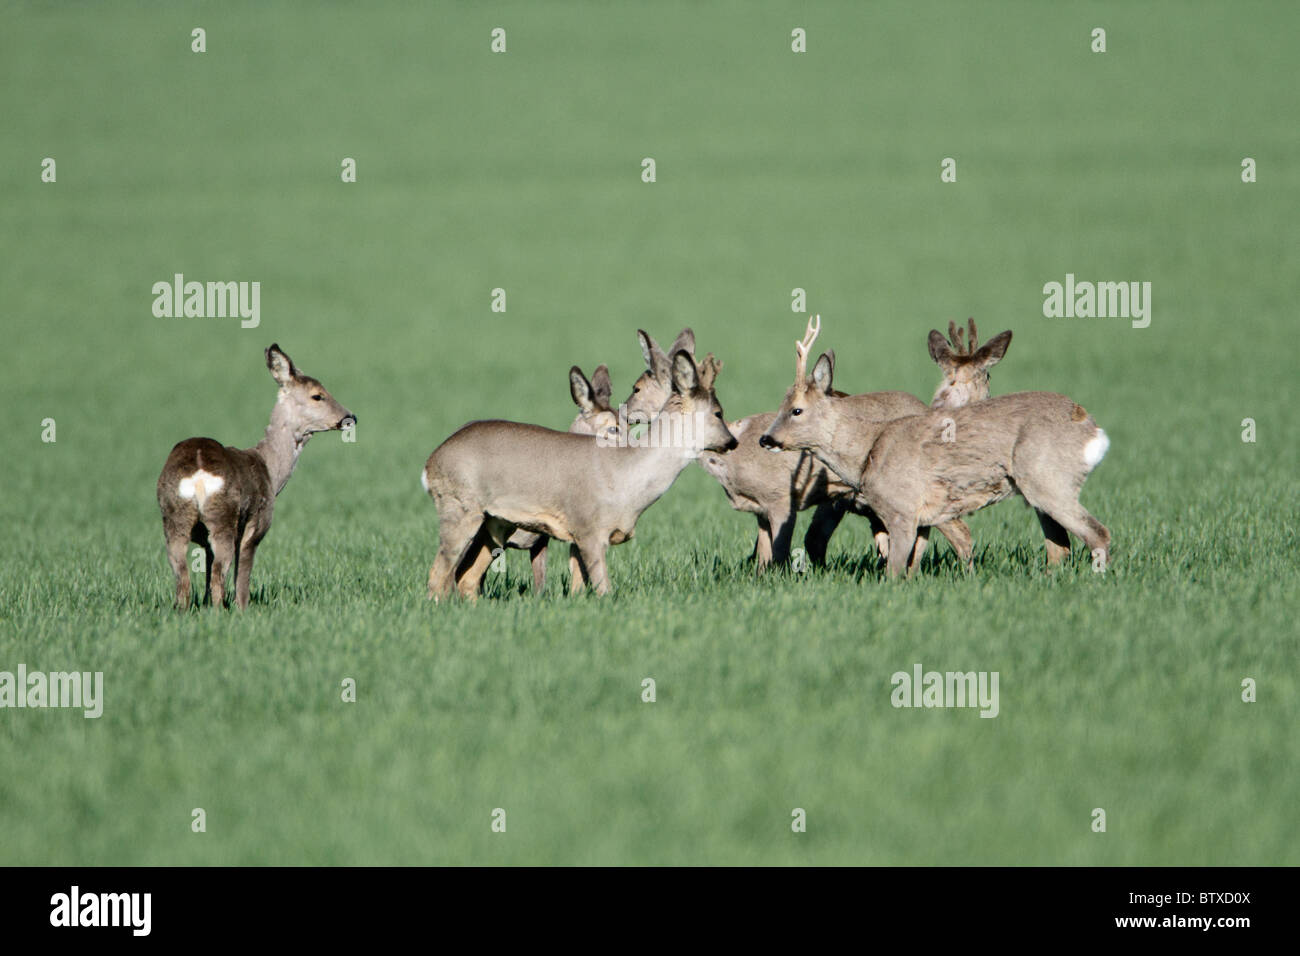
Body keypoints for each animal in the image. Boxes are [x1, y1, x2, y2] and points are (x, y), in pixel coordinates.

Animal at [156, 344, 355, 609]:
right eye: (317, 395)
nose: (350, 417)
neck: (270, 469)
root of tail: (197, 473)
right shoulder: (256, 524)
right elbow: (241, 579)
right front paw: (243, 610)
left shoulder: (206, 542)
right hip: (223, 517)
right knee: (219, 574)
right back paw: (220, 612)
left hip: (173, 516)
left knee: (182, 576)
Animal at [422, 349, 736, 600]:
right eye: (719, 413)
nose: (732, 441)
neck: (626, 478)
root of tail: (430, 463)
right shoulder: (587, 527)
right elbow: (603, 590)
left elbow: (578, 588)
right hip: (459, 507)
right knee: (439, 575)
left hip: (495, 523)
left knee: (466, 579)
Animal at [760, 316, 1111, 577]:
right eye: (781, 405)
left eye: (796, 410)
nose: (766, 439)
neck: (867, 451)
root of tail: (1092, 427)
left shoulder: (904, 510)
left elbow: (899, 570)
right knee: (1060, 546)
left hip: (1049, 481)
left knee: (1096, 534)